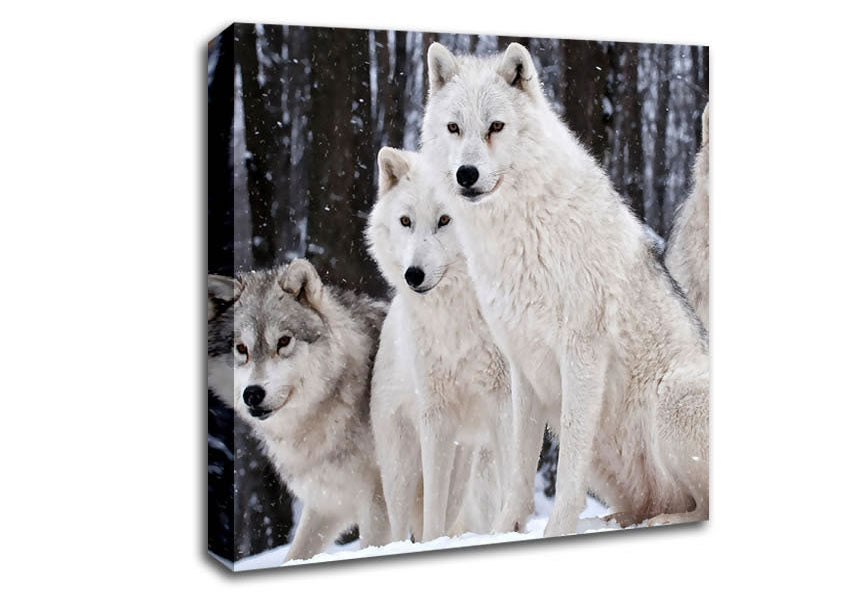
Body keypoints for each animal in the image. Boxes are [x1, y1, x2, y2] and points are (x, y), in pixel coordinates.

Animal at [206, 261, 390, 562]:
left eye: (283, 341)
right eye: (241, 349)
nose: (252, 394)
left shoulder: (380, 502)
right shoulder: (327, 503)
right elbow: (294, 554)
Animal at [367, 147, 511, 542]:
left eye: (446, 219)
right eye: (405, 221)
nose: (412, 275)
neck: (459, 319)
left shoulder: (506, 403)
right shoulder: (436, 415)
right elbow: (432, 509)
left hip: (467, 463)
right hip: (401, 468)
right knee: (403, 525)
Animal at [420, 42, 710, 537]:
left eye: (495, 126)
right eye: (454, 128)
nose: (466, 174)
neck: (518, 232)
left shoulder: (581, 353)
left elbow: (568, 460)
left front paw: (556, 530)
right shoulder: (521, 364)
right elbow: (519, 464)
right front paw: (505, 530)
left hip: (674, 395)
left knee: (703, 506)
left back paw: (658, 521)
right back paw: (620, 520)